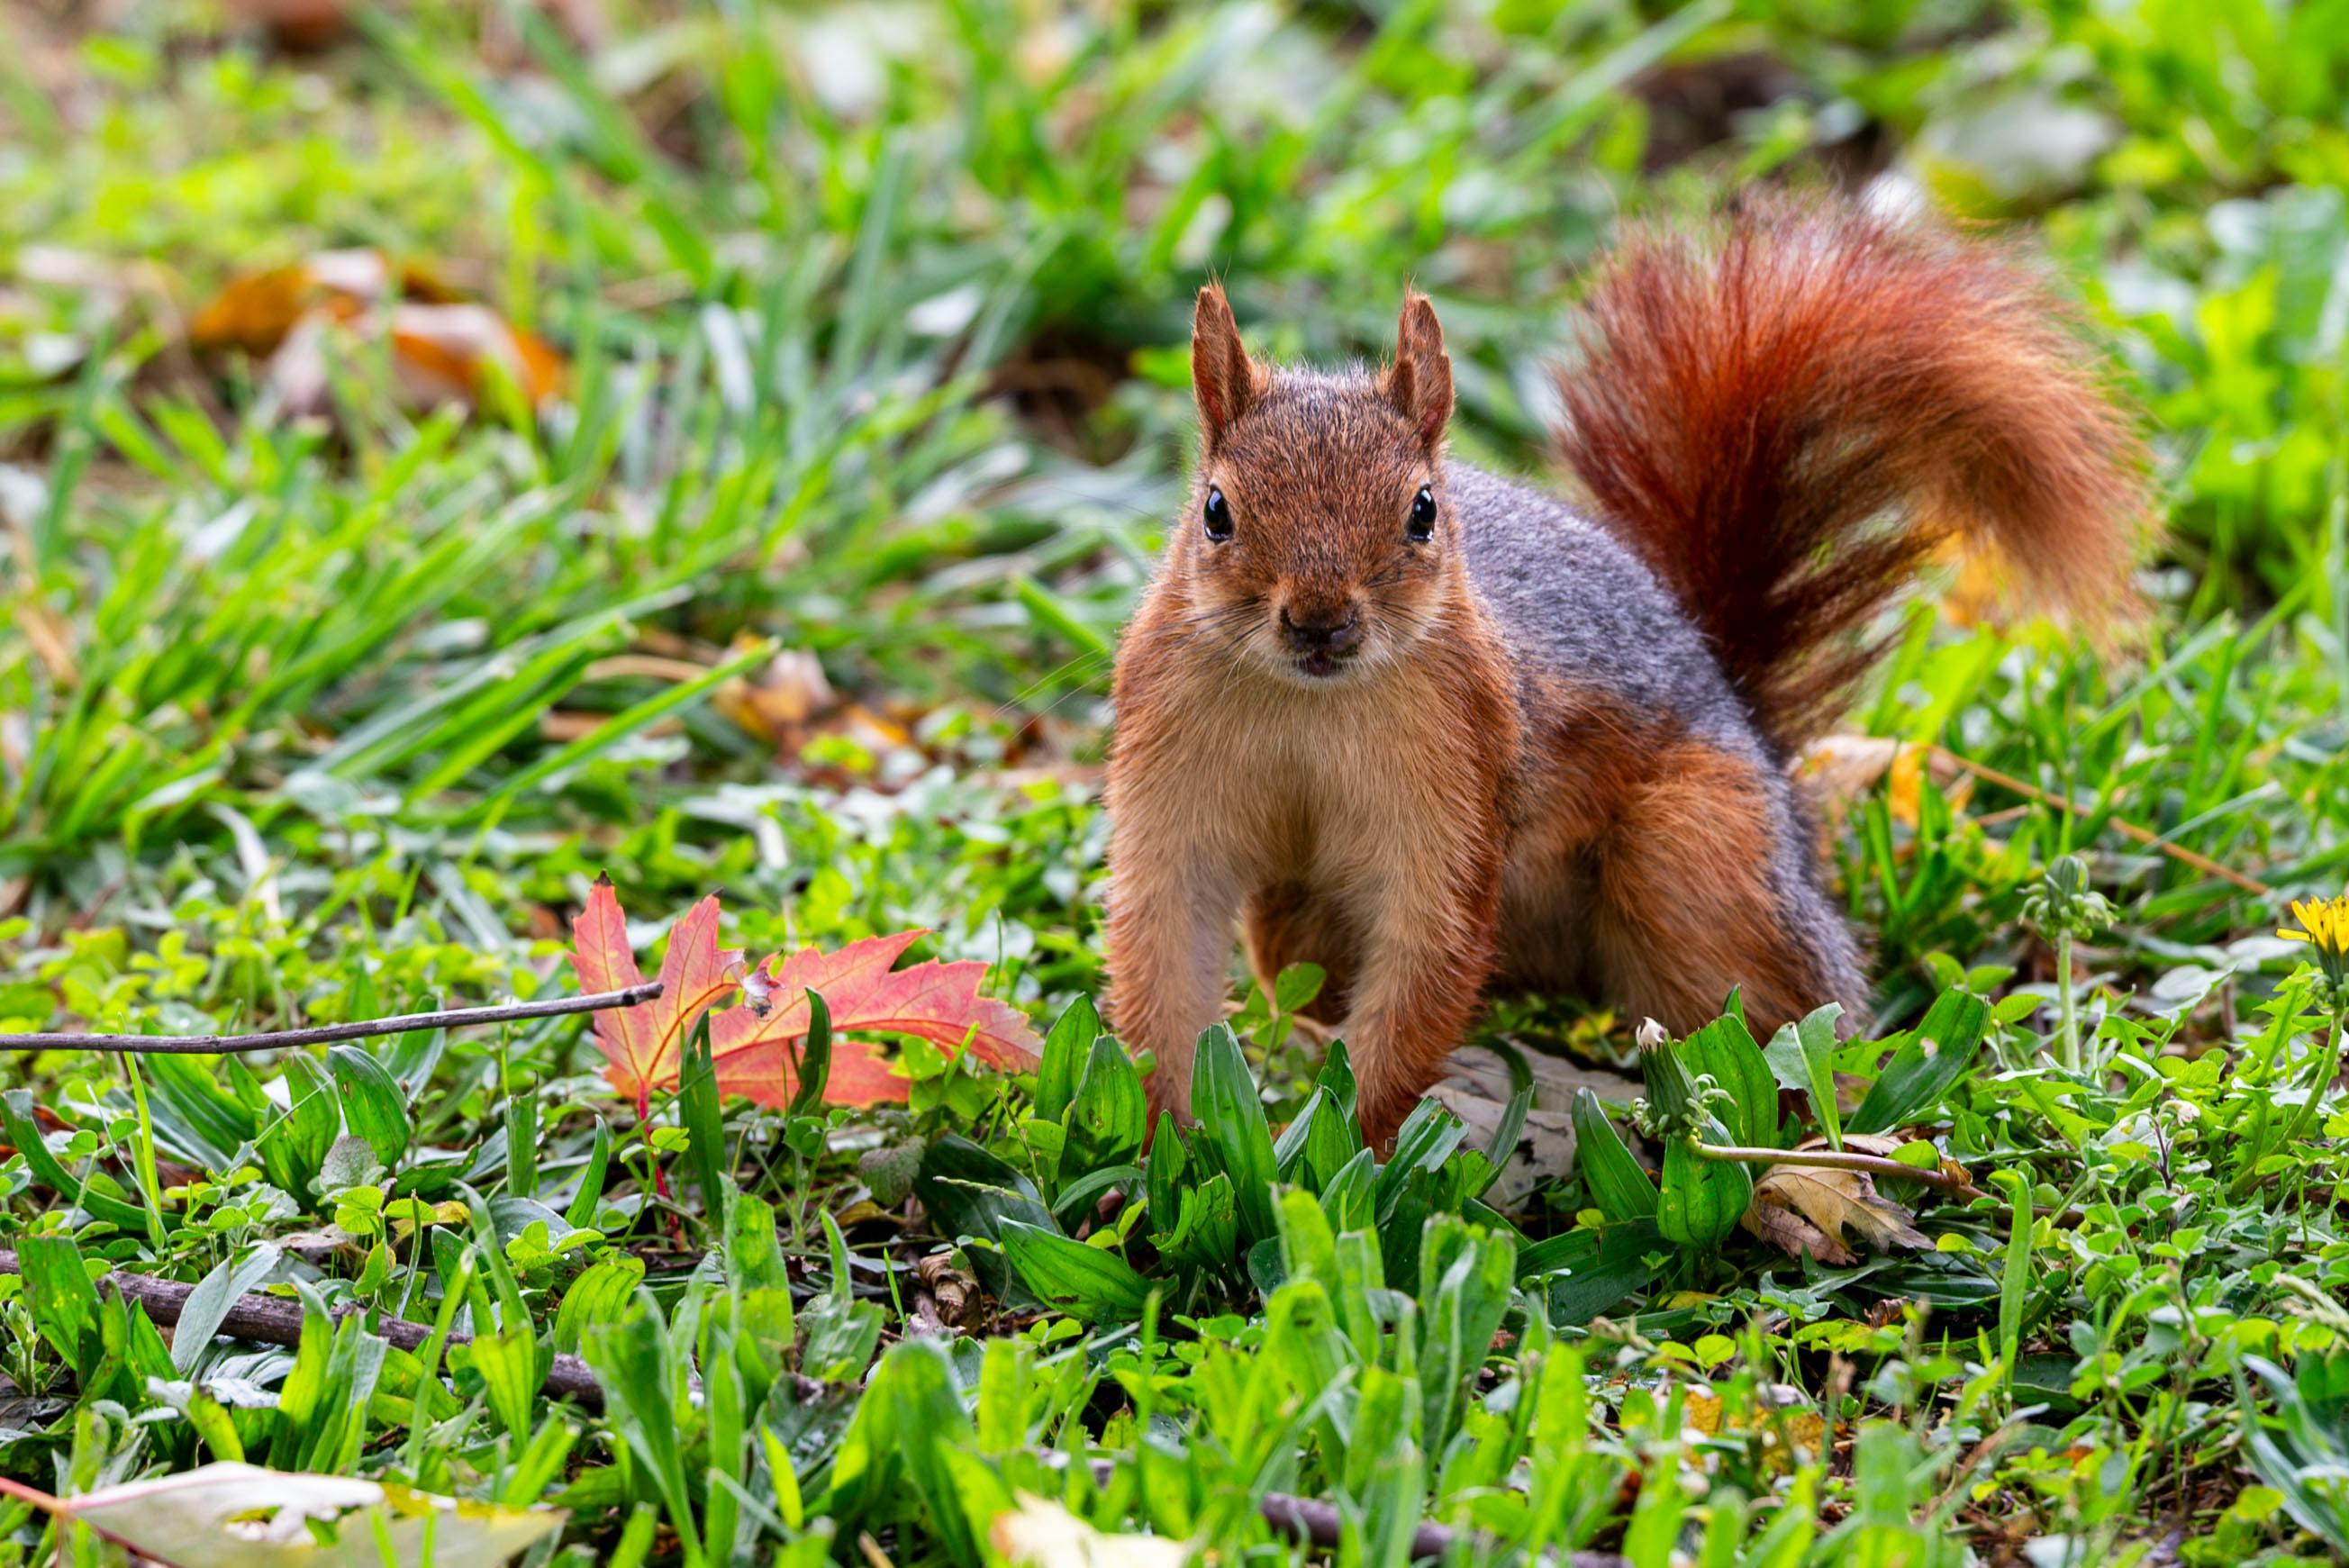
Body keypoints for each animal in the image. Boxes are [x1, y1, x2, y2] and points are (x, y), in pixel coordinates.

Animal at [1103, 194, 2155, 1146]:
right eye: (1215, 511)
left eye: (1422, 511)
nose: (1319, 621)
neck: (1309, 704)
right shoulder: (1173, 776)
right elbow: (1166, 942)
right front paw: (1171, 1147)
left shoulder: (1459, 791)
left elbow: (1424, 962)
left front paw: (1343, 1140)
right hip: (1304, 916)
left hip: (1692, 851)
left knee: (1788, 1007)